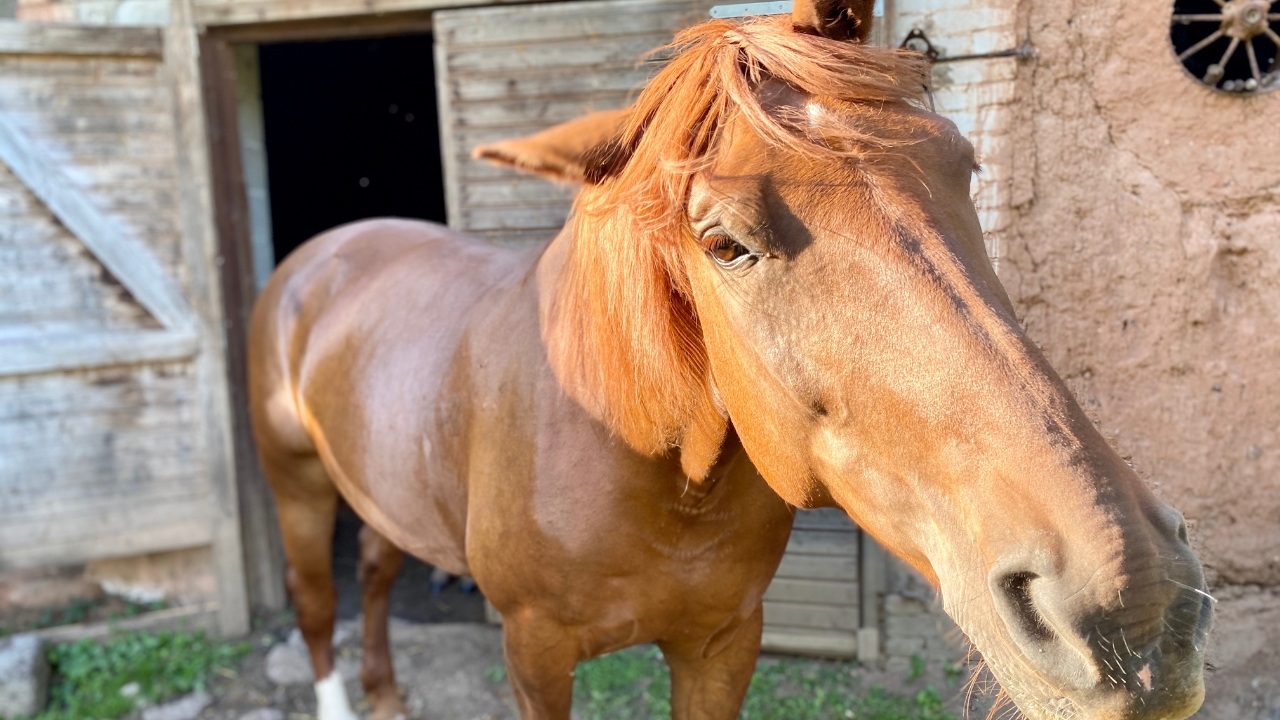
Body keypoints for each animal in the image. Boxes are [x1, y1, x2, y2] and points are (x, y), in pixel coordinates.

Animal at [247, 4, 1211, 719]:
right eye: (725, 244)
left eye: (963, 165)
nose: (1134, 605)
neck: (639, 460)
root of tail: (325, 254)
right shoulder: (534, 655)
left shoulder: (723, 645)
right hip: (296, 489)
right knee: (318, 605)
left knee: (375, 576)